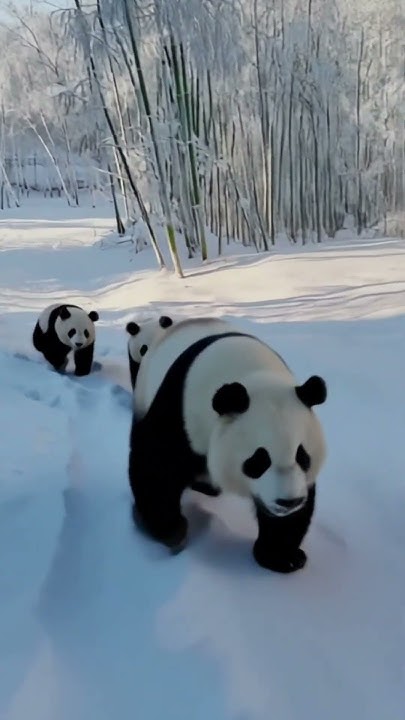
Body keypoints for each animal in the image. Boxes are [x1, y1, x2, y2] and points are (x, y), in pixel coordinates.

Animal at [129, 317, 327, 574]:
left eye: (303, 456)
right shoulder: (181, 408)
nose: (288, 502)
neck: (250, 373)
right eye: (259, 460)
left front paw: (282, 557)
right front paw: (172, 529)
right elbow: (156, 464)